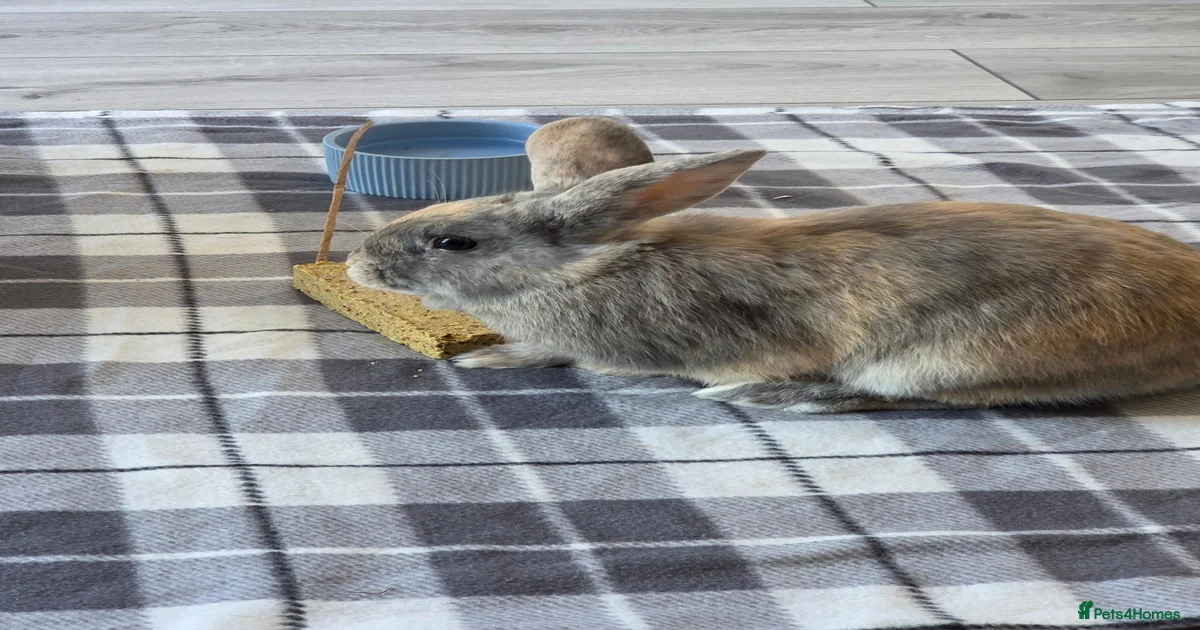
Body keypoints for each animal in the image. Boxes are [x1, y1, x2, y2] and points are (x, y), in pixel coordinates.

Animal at [346, 128, 1200, 413]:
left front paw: (490, 356)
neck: (575, 271)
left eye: (454, 242)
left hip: (939, 359)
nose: (355, 264)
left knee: (881, 395)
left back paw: (759, 396)